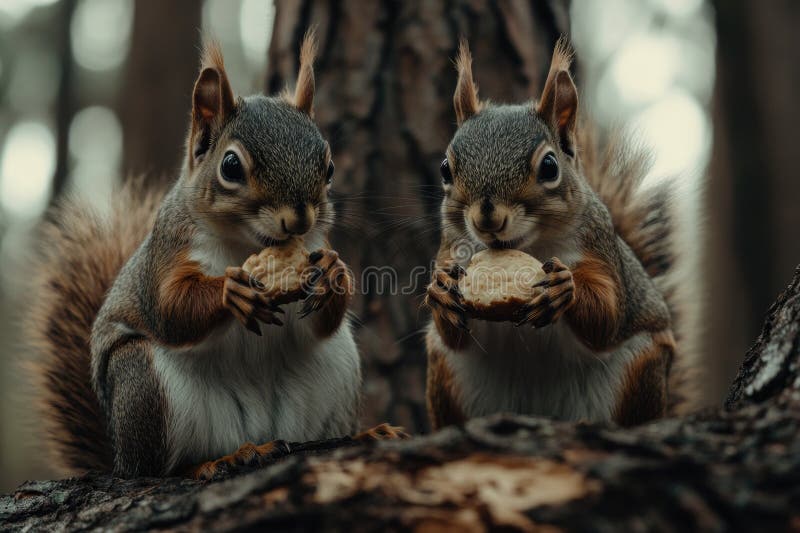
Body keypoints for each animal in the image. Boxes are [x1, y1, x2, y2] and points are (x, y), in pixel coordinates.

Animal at [24, 32, 391, 480]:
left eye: (330, 167)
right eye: (230, 166)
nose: (300, 219)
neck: (247, 244)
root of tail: (118, 459)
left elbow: (319, 323)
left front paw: (334, 272)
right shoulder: (168, 252)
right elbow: (169, 310)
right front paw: (231, 291)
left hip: (339, 367)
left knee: (322, 434)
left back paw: (364, 434)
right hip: (144, 385)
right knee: (164, 468)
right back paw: (218, 460)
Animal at [425, 39, 699, 429]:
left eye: (550, 166)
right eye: (446, 169)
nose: (487, 219)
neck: (533, 247)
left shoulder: (598, 249)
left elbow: (607, 316)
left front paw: (563, 288)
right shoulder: (450, 249)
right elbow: (454, 335)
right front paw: (441, 290)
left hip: (639, 367)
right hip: (447, 374)